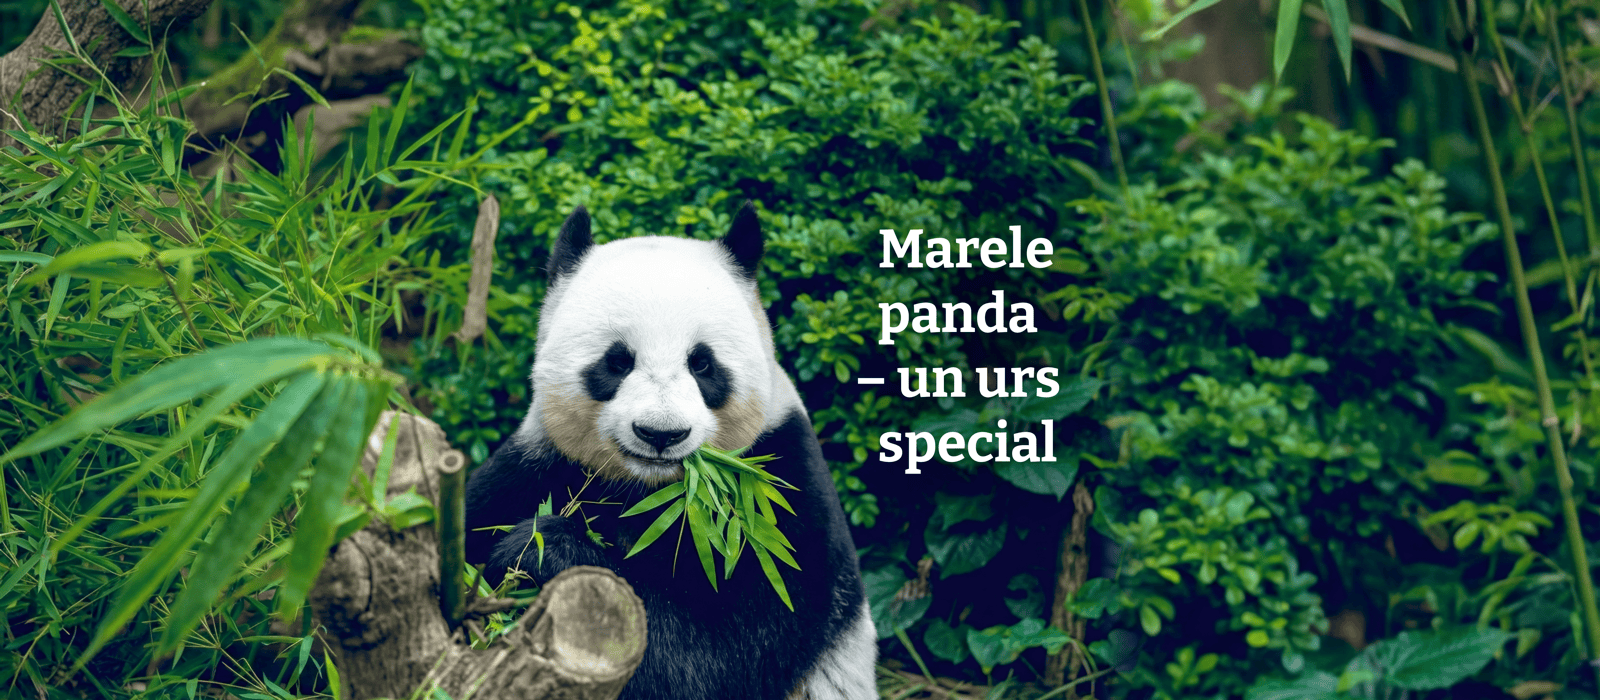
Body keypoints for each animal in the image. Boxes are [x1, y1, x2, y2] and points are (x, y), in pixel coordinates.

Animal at [464, 202, 878, 700]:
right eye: (617, 361)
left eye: (702, 363)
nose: (661, 434)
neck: (653, 490)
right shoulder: (538, 464)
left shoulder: (776, 508)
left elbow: (708, 660)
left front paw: (542, 549)